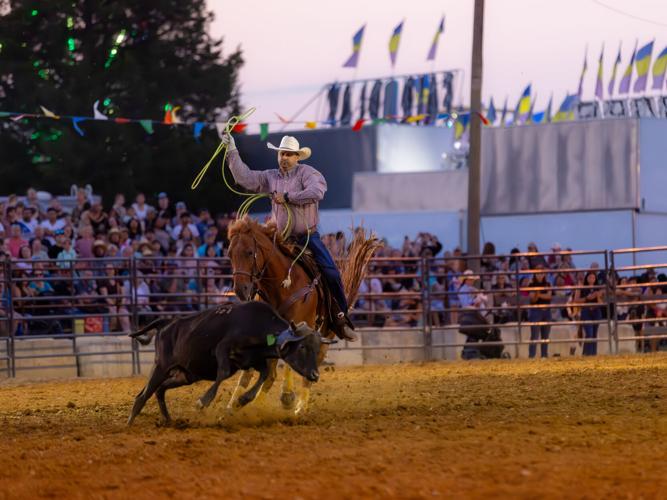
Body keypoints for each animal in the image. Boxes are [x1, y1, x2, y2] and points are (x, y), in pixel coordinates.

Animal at [226, 215, 380, 414]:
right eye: (230, 254)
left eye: (249, 252)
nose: (240, 289)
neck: (282, 286)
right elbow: (253, 369)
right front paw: (233, 403)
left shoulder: (301, 324)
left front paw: (287, 397)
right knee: (271, 371)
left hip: (327, 334)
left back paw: (300, 406)